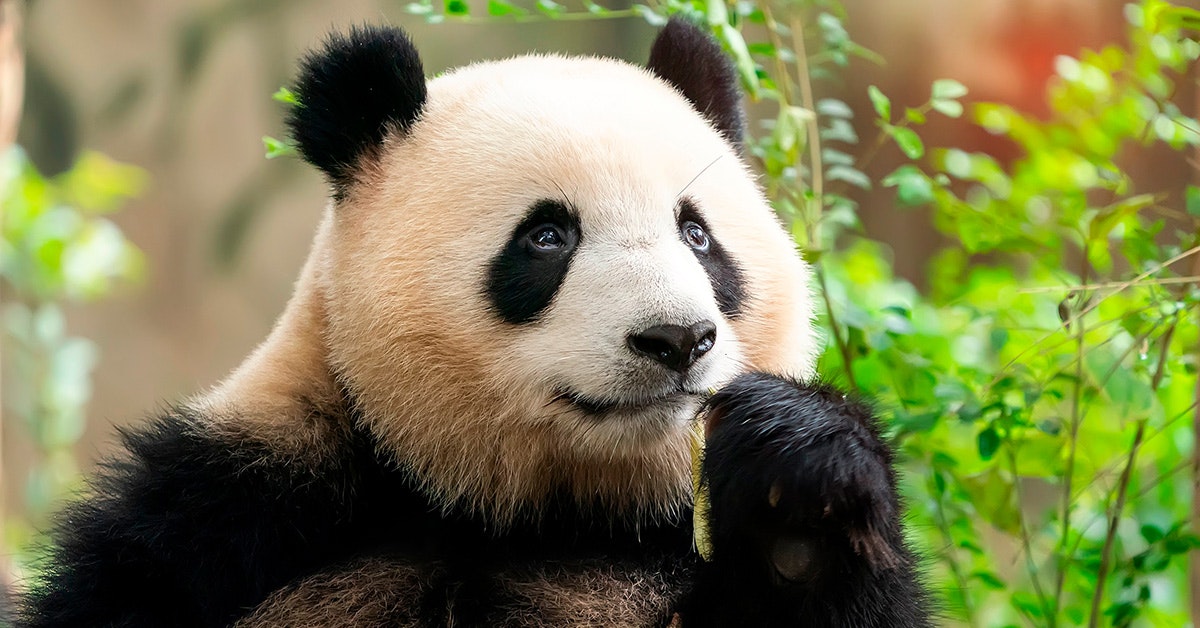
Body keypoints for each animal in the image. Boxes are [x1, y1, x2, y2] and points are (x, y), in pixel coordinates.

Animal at [19, 18, 931, 628]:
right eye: (548, 235)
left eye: (698, 235)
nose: (676, 340)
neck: (534, 511)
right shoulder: (228, 514)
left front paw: (798, 485)